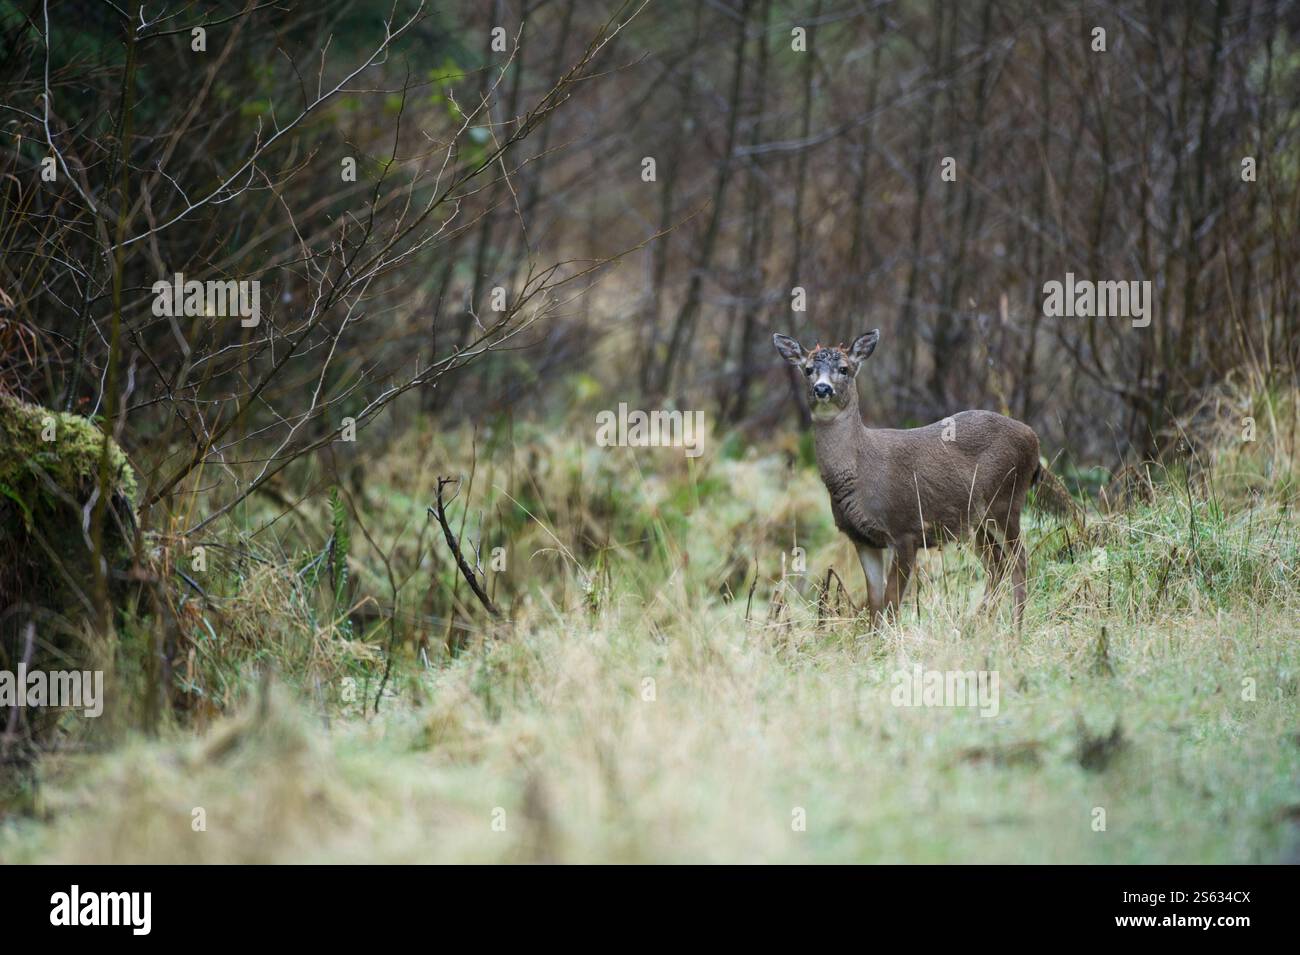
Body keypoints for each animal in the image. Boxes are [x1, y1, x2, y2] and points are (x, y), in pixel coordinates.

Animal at [772, 330, 1041, 629]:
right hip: (975, 521)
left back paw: (1016, 627)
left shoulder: (905, 529)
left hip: (1006, 500)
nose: (822, 389)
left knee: (1020, 560)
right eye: (808, 369)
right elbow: (875, 601)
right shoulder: (863, 539)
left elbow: (891, 602)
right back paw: (979, 623)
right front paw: (873, 639)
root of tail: (1033, 437)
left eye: (844, 369)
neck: (862, 471)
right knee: (998, 564)